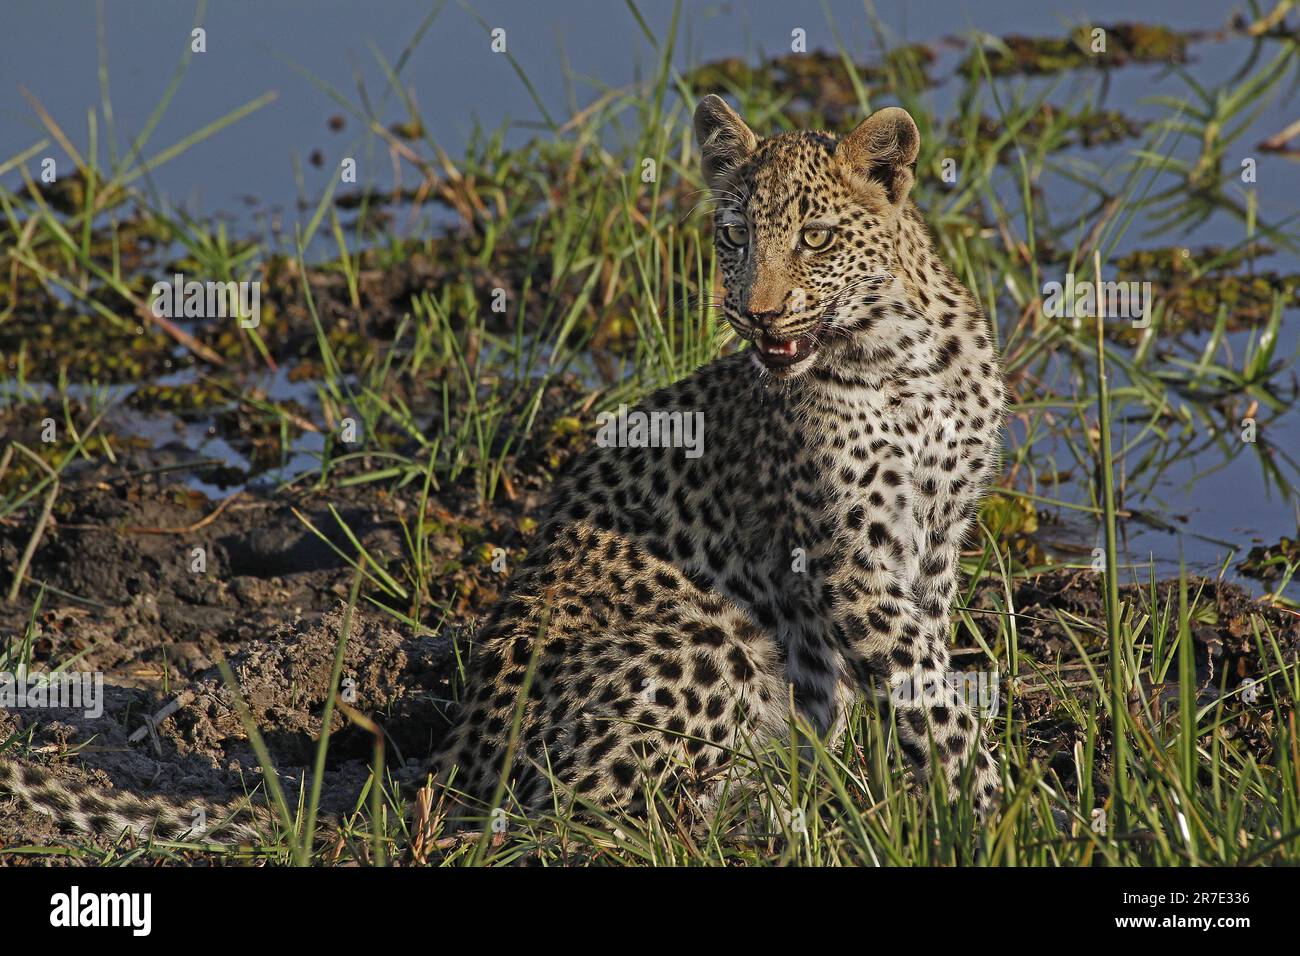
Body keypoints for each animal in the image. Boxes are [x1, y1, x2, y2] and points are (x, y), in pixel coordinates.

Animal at [0, 96, 1005, 843]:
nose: (754, 314)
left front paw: (952, 801)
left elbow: (929, 677)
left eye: (817, 239)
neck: (899, 357)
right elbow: (928, 692)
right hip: (707, 639)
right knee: (588, 813)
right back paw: (773, 818)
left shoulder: (936, 542)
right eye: (733, 237)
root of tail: (457, 758)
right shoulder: (844, 558)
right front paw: (998, 806)